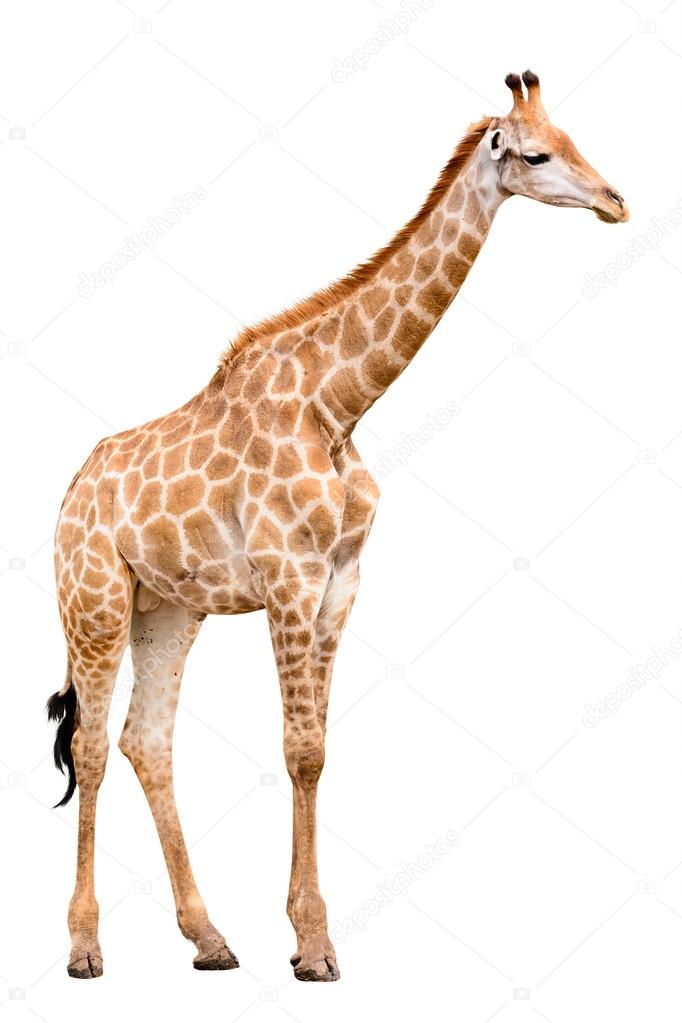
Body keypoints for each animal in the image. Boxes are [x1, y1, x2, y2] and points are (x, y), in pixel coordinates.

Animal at [48, 71, 627, 982]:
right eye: (536, 154)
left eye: (576, 139)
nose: (616, 202)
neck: (340, 404)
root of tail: (69, 493)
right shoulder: (289, 578)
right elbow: (297, 748)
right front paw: (316, 946)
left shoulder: (340, 585)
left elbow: (318, 747)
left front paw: (302, 937)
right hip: (94, 600)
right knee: (93, 745)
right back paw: (84, 946)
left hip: (169, 609)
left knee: (148, 741)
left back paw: (209, 938)